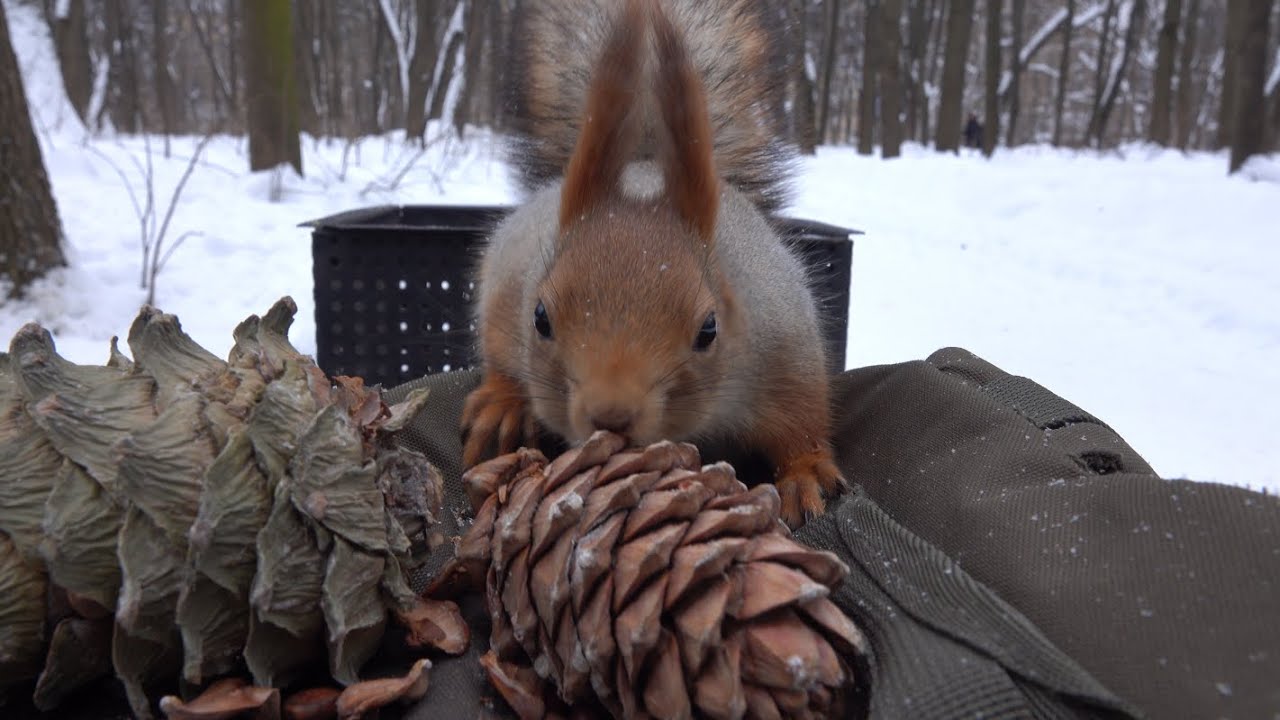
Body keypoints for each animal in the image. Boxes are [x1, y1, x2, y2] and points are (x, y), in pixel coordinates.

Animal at [461, 0, 845, 526]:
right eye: (539, 317)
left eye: (709, 329)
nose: (611, 416)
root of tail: (642, 165)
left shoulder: (786, 347)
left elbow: (801, 420)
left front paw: (805, 473)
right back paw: (502, 401)